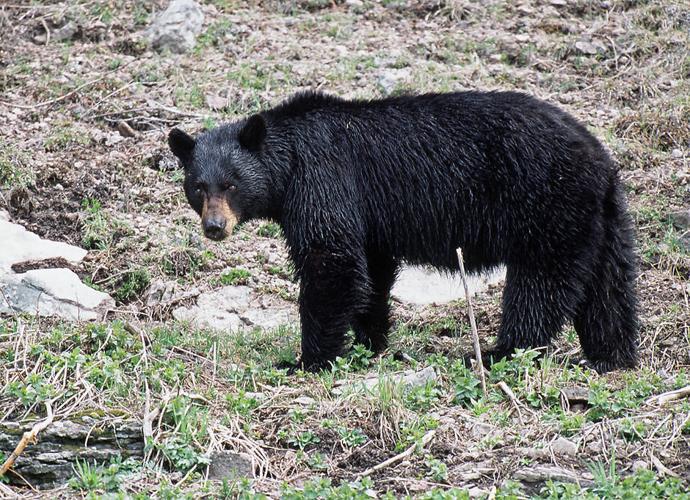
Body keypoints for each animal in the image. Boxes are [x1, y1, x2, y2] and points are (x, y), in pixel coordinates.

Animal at [168, 90, 639, 374]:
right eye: (198, 186)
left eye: (231, 184)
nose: (215, 227)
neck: (288, 163)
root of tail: (599, 157)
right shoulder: (368, 220)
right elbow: (370, 269)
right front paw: (370, 342)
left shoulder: (324, 180)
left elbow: (330, 260)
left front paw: (308, 359)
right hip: (602, 220)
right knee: (609, 288)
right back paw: (612, 356)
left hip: (546, 204)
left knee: (540, 286)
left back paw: (496, 352)